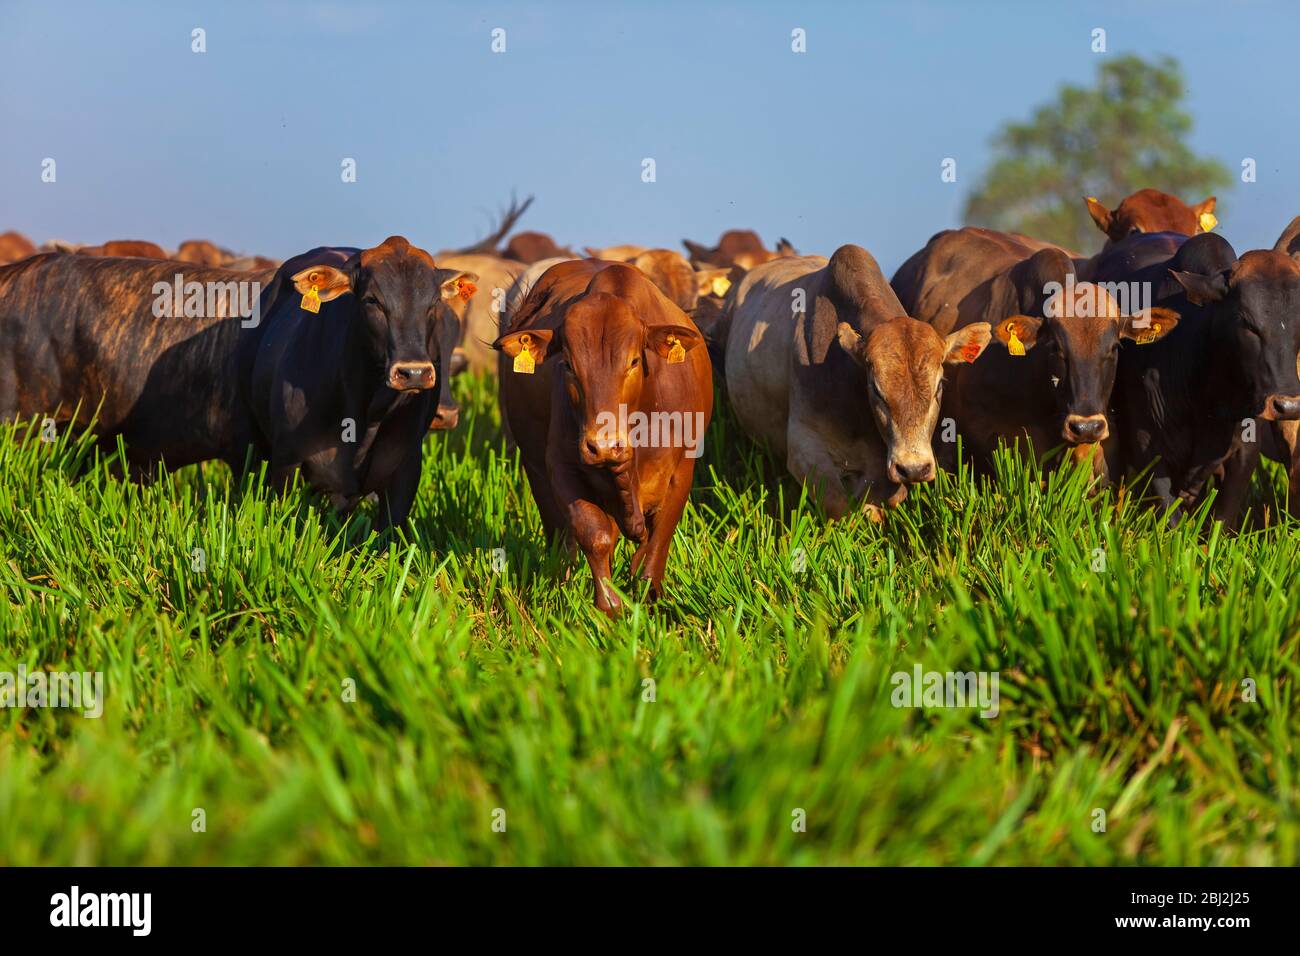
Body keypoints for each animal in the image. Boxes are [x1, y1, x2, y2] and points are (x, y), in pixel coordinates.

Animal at [0, 236, 475, 532]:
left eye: (433, 304)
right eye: (373, 300)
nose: (413, 372)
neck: (362, 417)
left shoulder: (403, 477)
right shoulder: (280, 468)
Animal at [493, 259, 712, 615]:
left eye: (634, 361)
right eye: (568, 365)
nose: (604, 446)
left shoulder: (683, 468)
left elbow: (658, 540)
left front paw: (648, 595)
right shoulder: (561, 466)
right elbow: (594, 534)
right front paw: (609, 605)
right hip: (535, 465)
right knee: (561, 535)